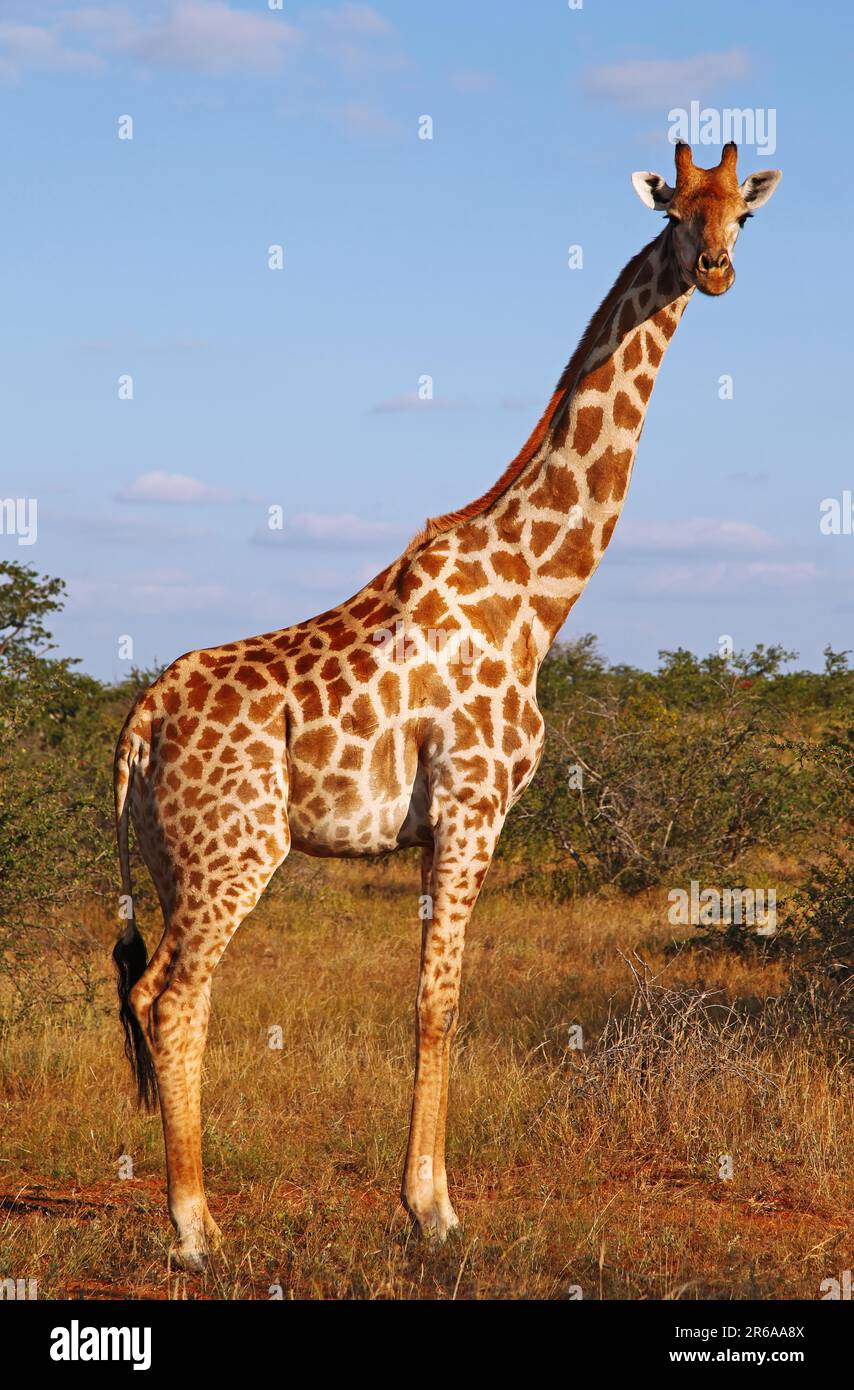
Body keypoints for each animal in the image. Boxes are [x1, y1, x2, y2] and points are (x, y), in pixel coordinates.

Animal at [113, 143, 780, 1271]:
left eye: (741, 211)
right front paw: (434, 1213)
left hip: (174, 862)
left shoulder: (445, 823)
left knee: (158, 992)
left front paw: (418, 1202)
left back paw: (194, 1215)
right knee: (171, 997)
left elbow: (427, 1000)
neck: (537, 595)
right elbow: (440, 1003)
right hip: (235, 851)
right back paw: (195, 1231)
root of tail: (143, 719)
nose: (718, 269)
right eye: (678, 211)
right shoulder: (473, 806)